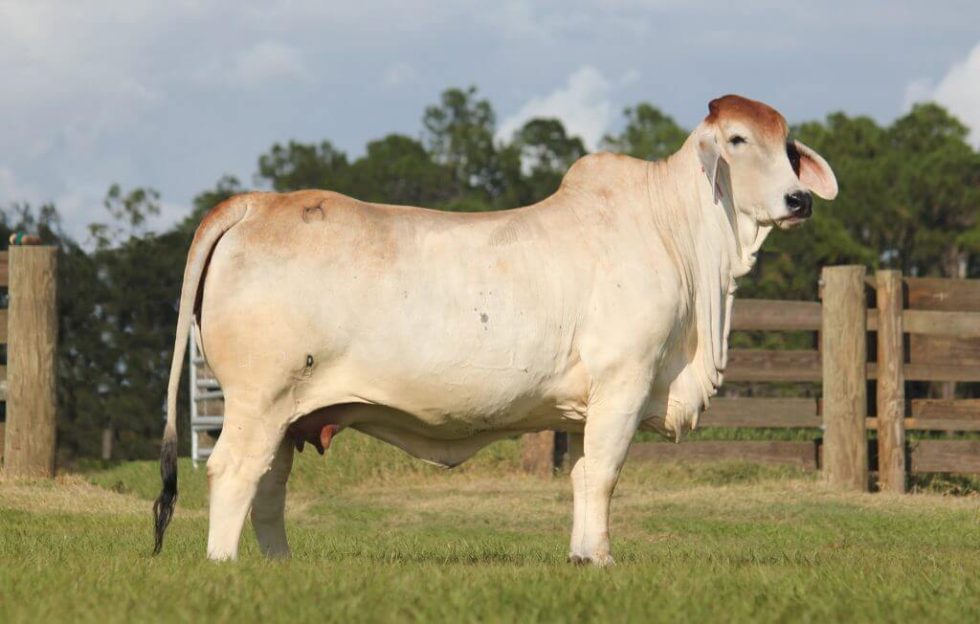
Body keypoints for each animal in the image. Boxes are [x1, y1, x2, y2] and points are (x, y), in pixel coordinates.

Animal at [153, 94, 837, 565]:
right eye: (739, 139)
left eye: (788, 145)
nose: (798, 200)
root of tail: (254, 204)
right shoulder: (624, 381)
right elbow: (601, 474)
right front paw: (599, 557)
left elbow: (584, 474)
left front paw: (582, 554)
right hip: (259, 399)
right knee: (234, 473)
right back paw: (225, 564)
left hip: (289, 414)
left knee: (269, 485)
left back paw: (278, 566)